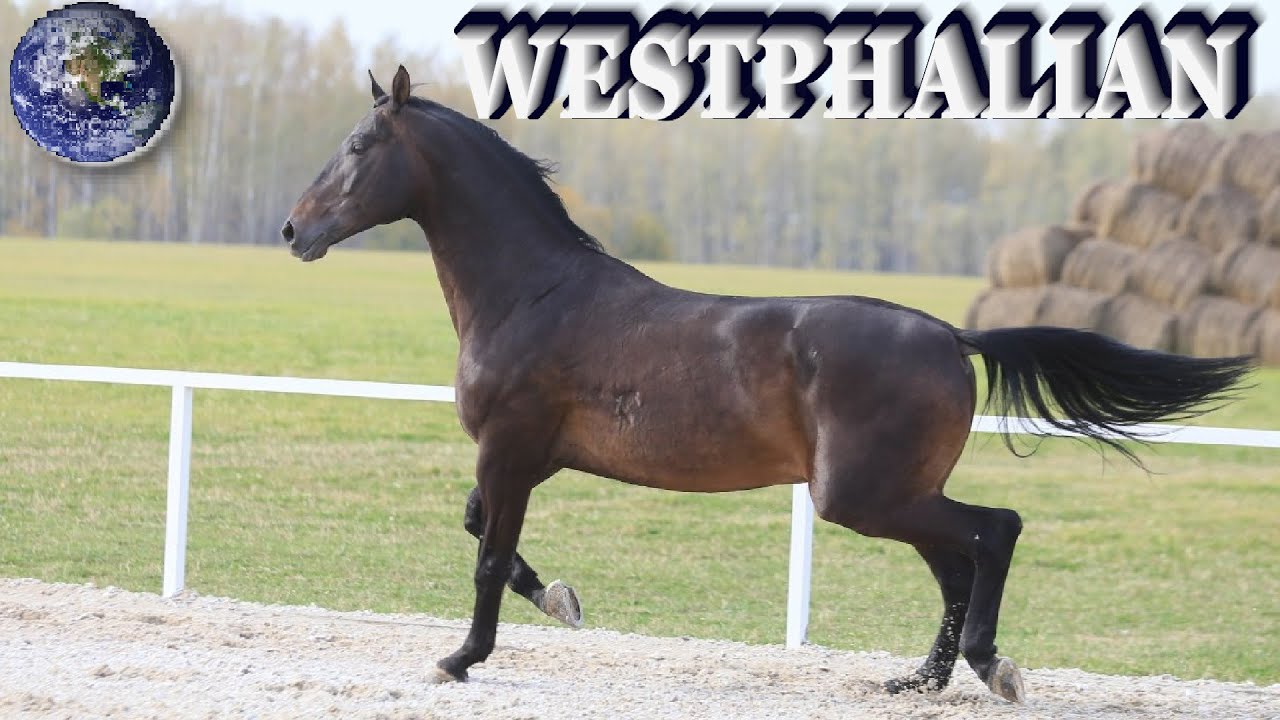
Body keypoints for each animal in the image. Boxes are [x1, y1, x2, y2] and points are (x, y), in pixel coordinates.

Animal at [281, 66, 1252, 702]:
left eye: (360, 143)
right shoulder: (526, 459)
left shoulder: (509, 449)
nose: (294, 230)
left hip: (861, 494)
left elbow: (485, 554)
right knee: (958, 560)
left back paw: (988, 666)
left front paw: (460, 658)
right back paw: (921, 678)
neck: (533, 293)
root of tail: (951, 333)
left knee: (993, 533)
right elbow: (481, 530)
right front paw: (560, 600)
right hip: (894, 492)